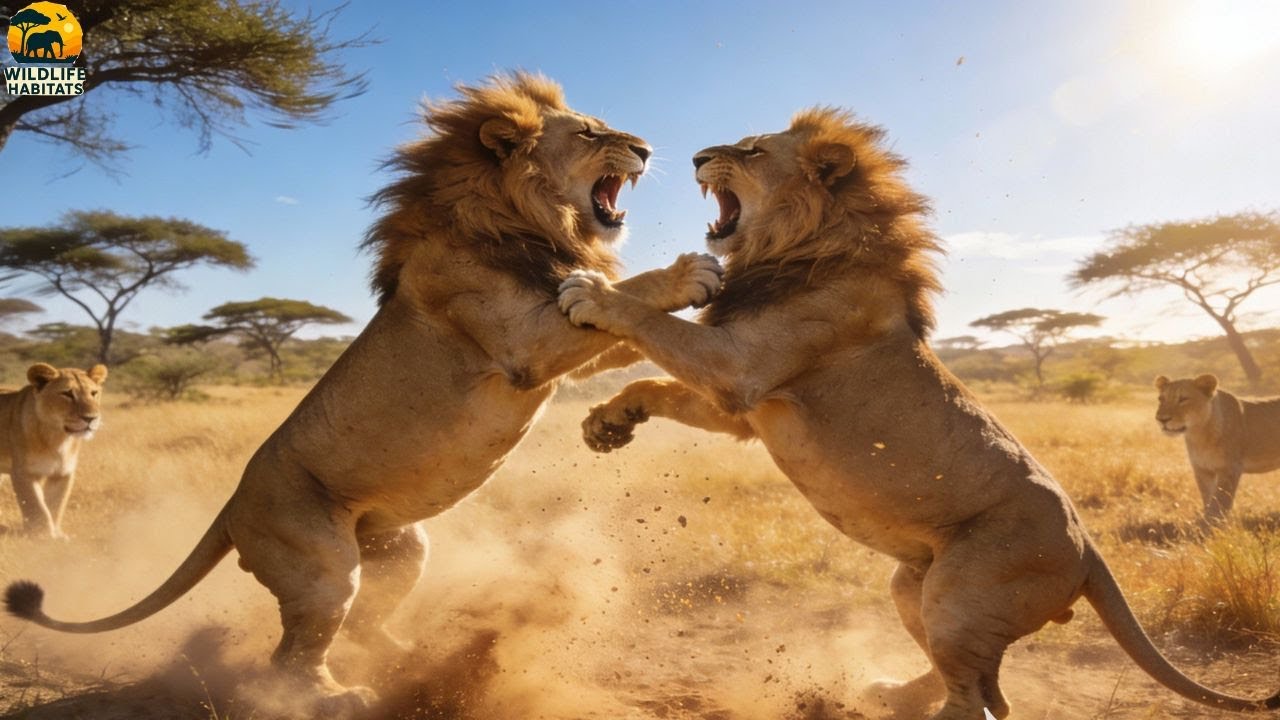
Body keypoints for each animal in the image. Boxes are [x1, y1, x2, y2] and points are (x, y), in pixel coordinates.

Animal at [0, 363, 107, 539]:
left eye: (94, 393)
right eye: (67, 394)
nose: (91, 418)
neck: (58, 438)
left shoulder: (62, 473)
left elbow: (56, 505)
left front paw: (57, 534)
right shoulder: (23, 473)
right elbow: (37, 506)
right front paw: (43, 536)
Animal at [1155, 374, 1280, 524]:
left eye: (1183, 399)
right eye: (1161, 399)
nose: (1161, 419)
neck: (1198, 434)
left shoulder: (1230, 469)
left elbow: (1220, 500)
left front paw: (1213, 525)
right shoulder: (1202, 469)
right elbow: (1208, 497)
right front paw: (1206, 520)